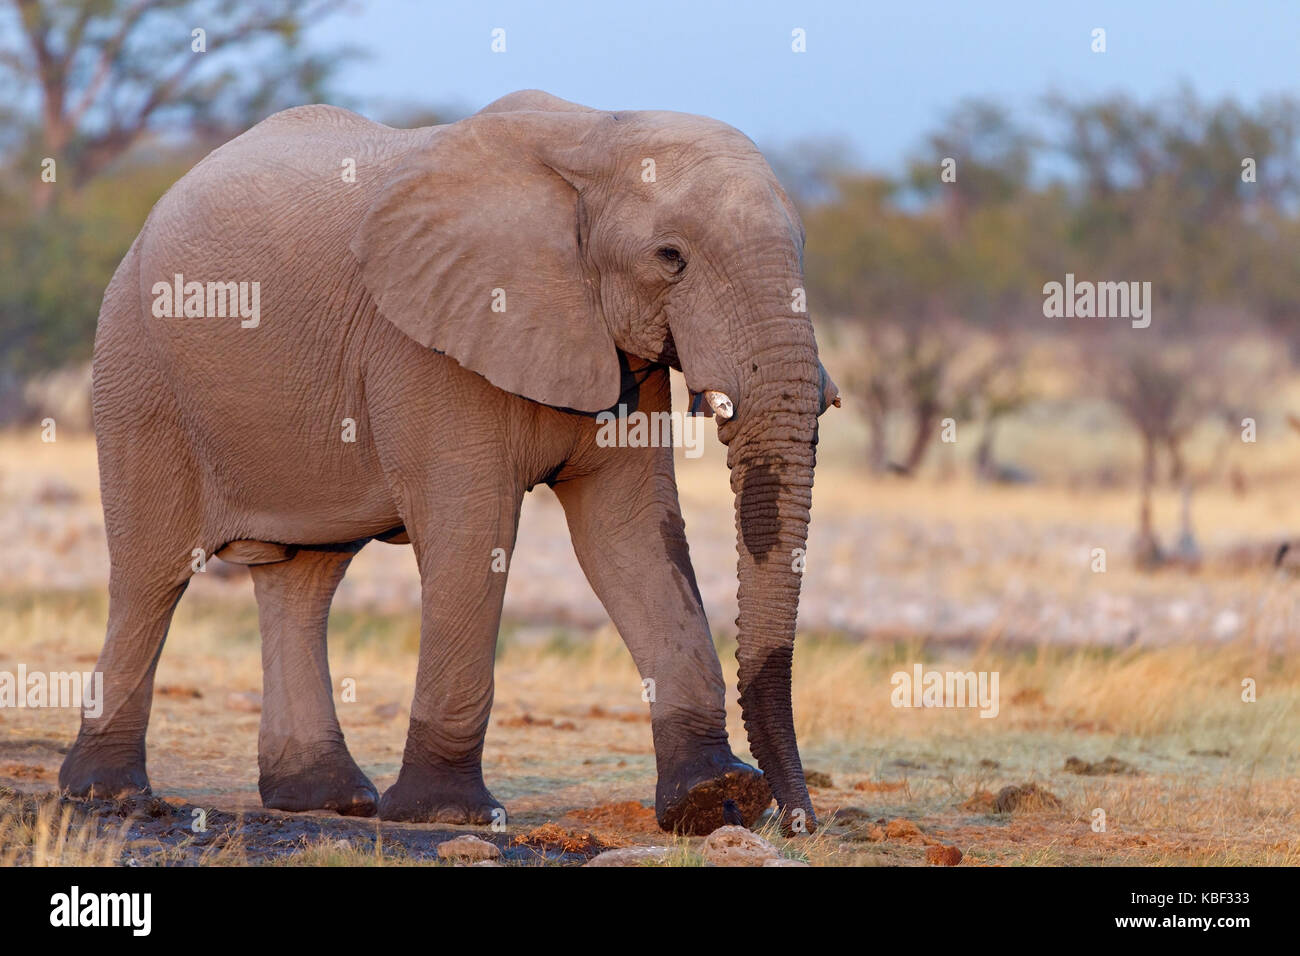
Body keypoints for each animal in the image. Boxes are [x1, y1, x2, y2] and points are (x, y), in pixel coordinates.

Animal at [58, 89, 839, 836]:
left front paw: (712, 798)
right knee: (152, 574)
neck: (593, 134)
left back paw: (326, 799)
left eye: (805, 248)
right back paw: (108, 794)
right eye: (670, 257)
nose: (797, 820)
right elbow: (473, 535)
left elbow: (633, 539)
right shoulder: (427, 343)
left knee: (304, 579)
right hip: (136, 367)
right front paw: (445, 814)